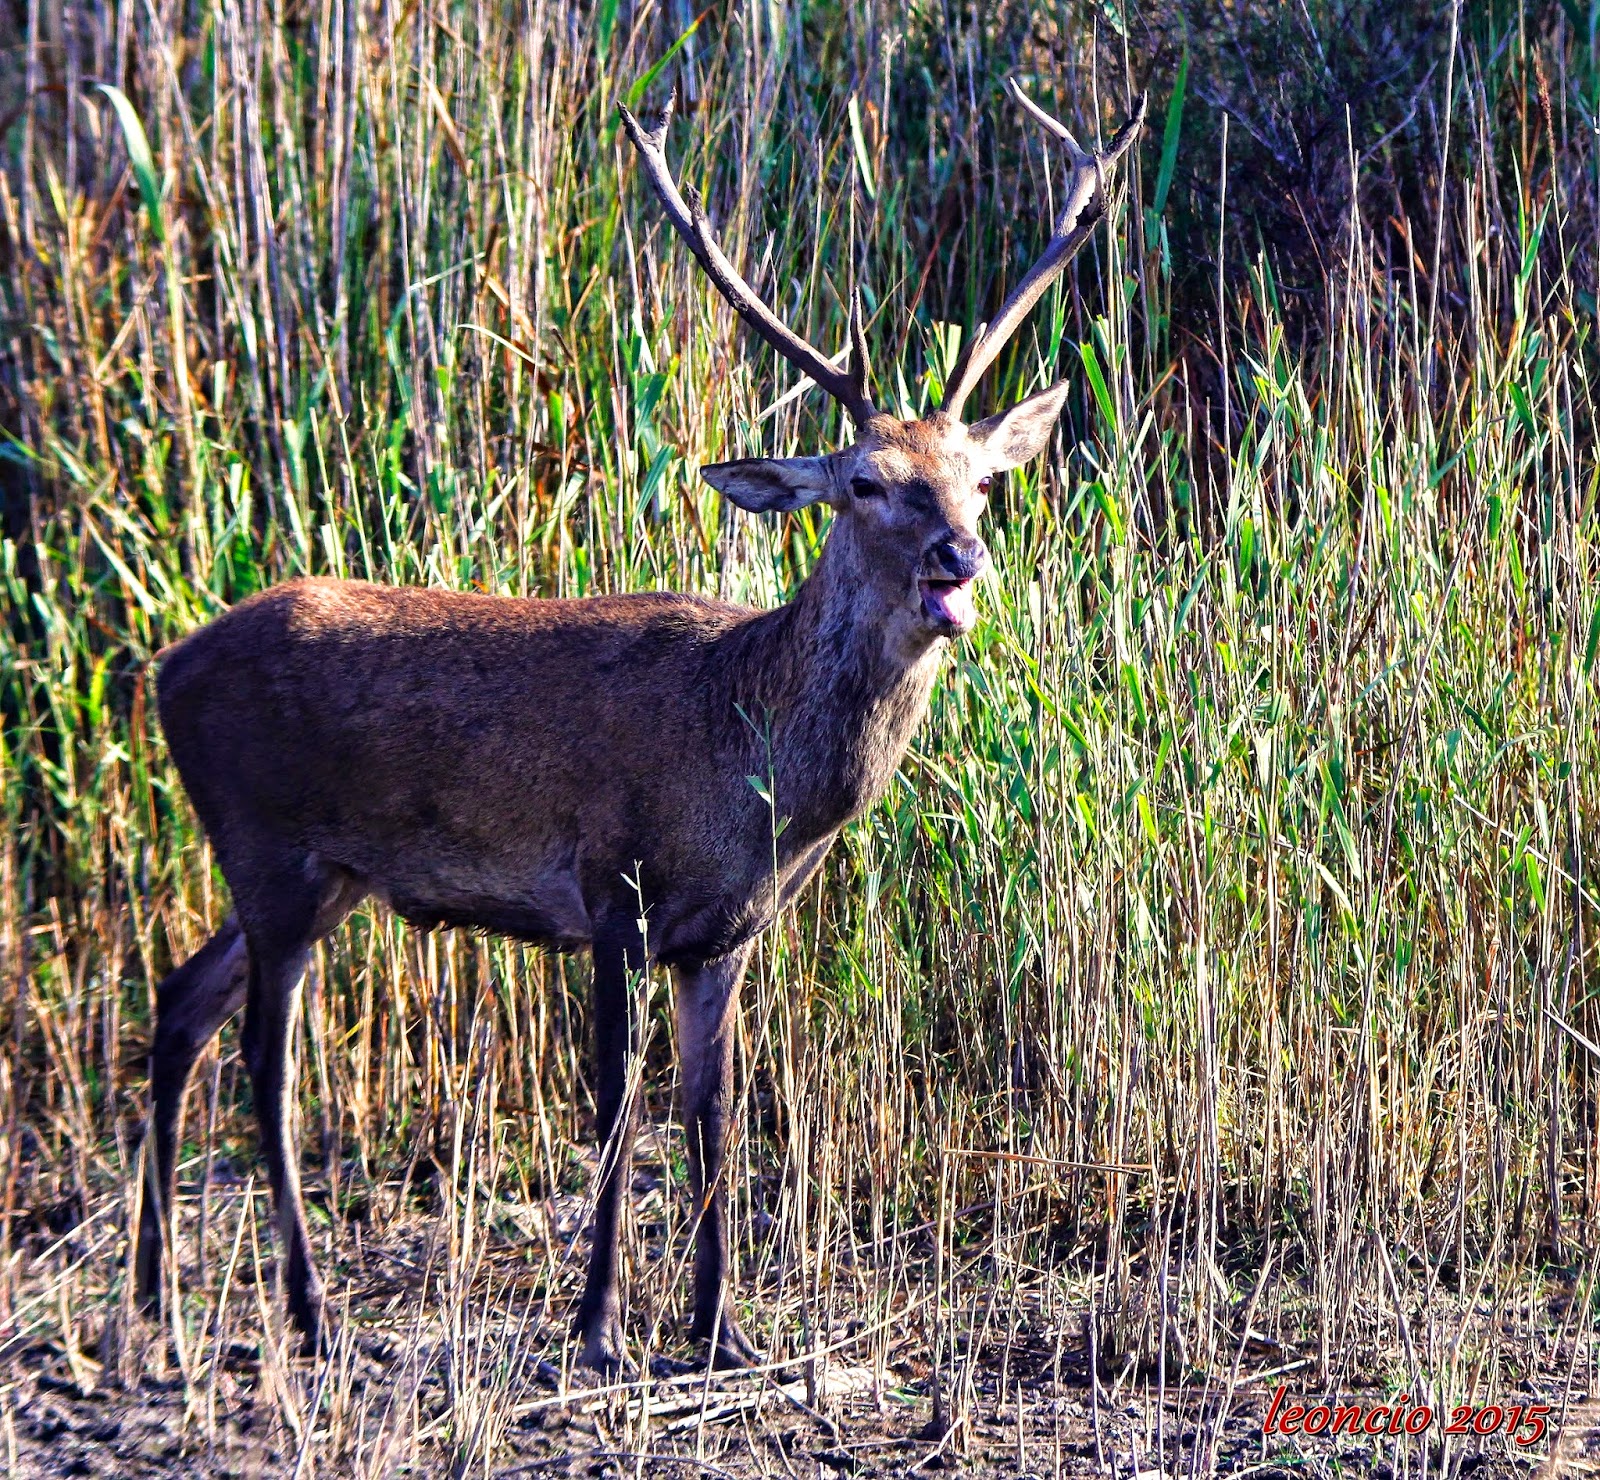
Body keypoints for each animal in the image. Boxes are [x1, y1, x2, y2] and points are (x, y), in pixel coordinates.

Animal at [133, 79, 1143, 1373]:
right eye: (865, 482)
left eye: (980, 477)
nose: (955, 559)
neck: (747, 770)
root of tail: (166, 667)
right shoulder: (608, 882)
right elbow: (616, 1103)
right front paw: (601, 1323)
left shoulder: (727, 934)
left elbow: (712, 1108)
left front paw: (721, 1323)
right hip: (268, 843)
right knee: (264, 1053)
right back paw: (307, 1313)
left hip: (321, 870)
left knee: (182, 1002)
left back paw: (155, 1301)